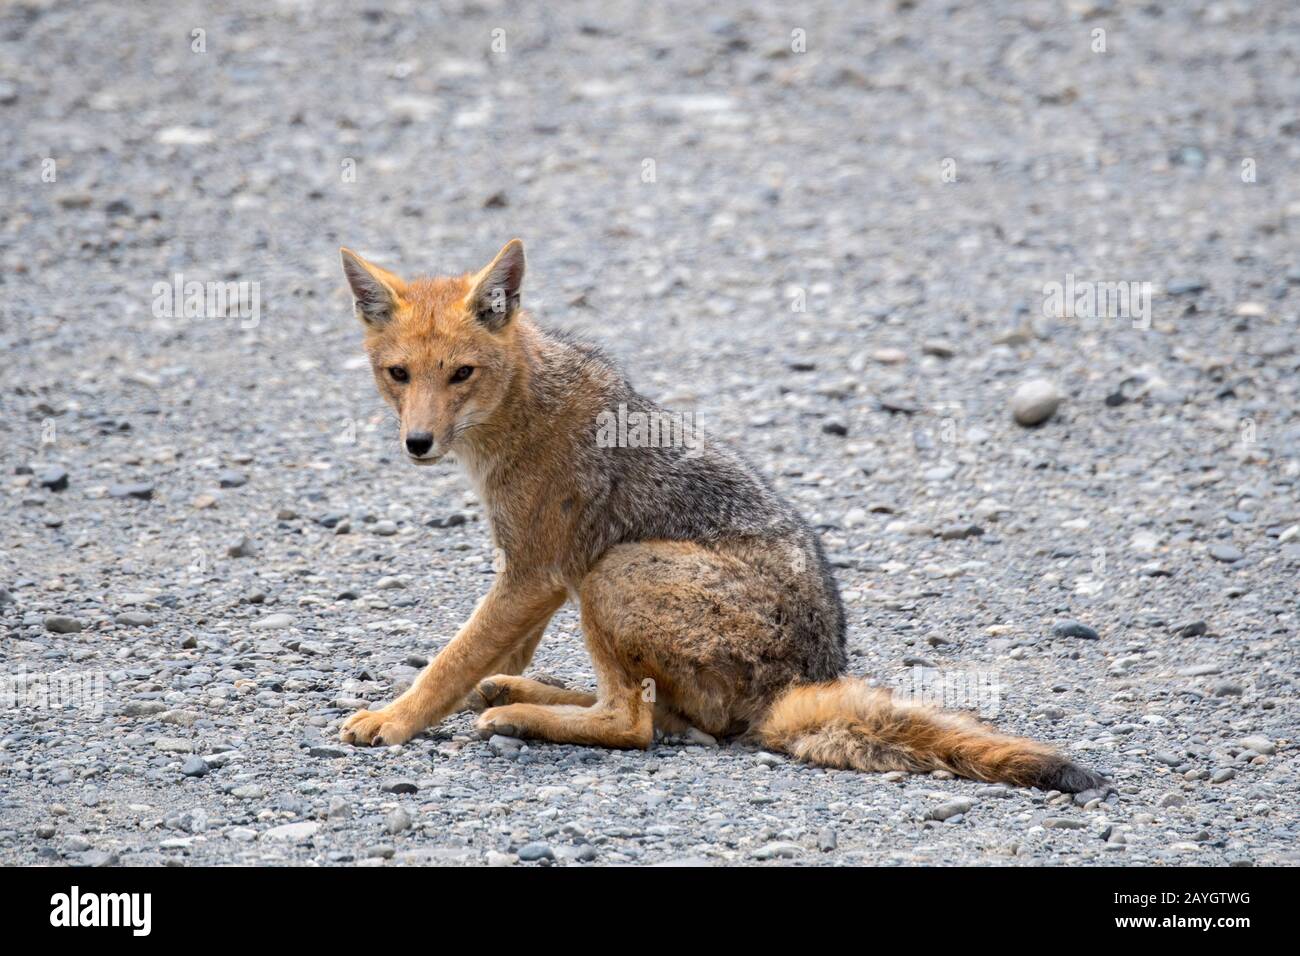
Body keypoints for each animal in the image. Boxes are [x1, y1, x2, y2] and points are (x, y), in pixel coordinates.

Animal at [335, 239, 1112, 794]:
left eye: (461, 373)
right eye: (399, 375)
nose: (417, 442)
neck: (524, 408)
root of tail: (802, 682)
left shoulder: (537, 571)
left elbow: (453, 660)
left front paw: (396, 719)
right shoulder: (530, 573)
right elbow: (488, 653)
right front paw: (466, 688)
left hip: (613, 572)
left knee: (635, 724)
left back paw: (521, 716)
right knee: (656, 712)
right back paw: (526, 695)